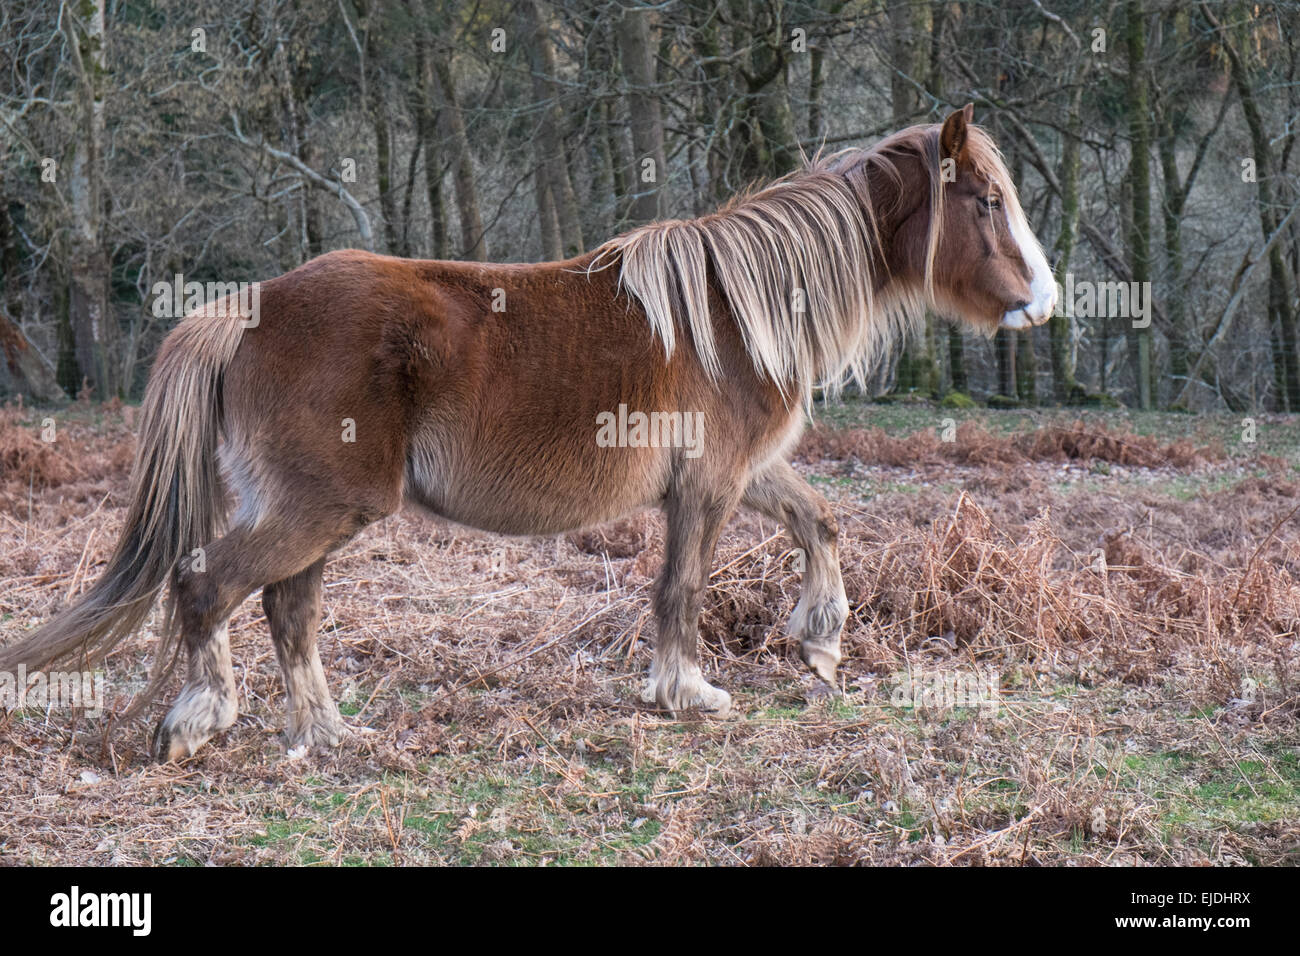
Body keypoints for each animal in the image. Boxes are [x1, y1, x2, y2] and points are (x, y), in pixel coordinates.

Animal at [0, 105, 1056, 760]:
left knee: (284, 608)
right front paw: (689, 692)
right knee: (207, 584)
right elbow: (681, 590)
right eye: (987, 201)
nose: (1043, 302)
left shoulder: (740, 473)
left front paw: (821, 642)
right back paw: (200, 719)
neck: (730, 310)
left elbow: (819, 520)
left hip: (313, 512)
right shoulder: (709, 485)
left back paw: (328, 735)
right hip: (318, 508)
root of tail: (246, 310)